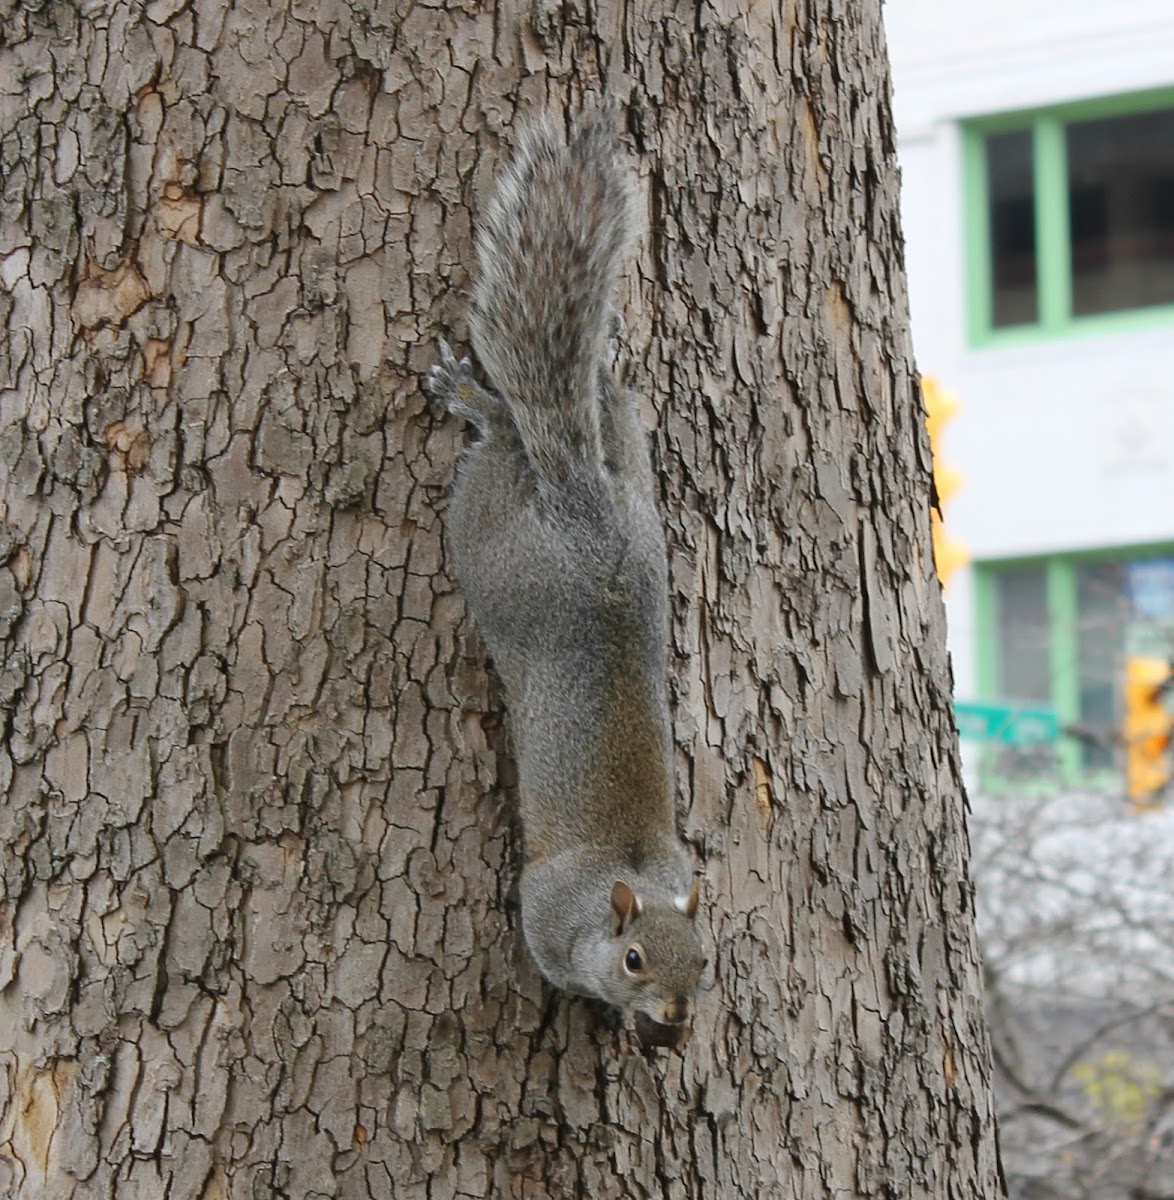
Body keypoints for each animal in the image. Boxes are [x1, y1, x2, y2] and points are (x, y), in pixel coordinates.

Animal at [426, 112, 706, 1039]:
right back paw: (483, 406)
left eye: (706, 961)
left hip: (636, 494)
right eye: (634, 958)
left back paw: (601, 374)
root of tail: (581, 499)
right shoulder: (543, 913)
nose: (675, 1019)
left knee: (600, 411)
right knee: (506, 435)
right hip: (487, 540)